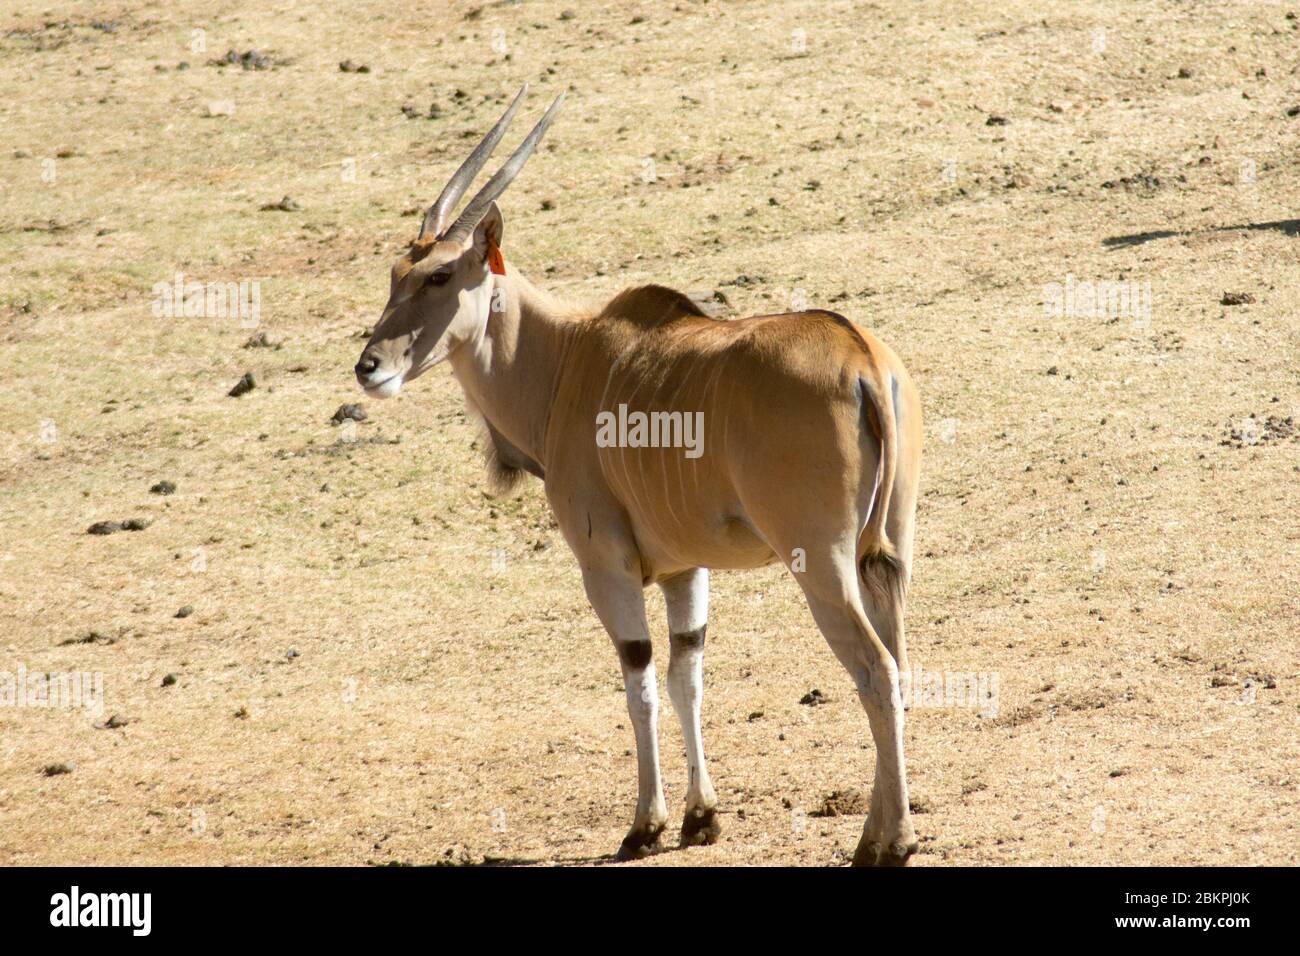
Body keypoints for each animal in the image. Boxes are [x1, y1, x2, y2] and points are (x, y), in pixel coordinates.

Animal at [354, 86, 924, 866]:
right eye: (394, 275)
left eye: (440, 274)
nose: (369, 366)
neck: (566, 360)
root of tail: (863, 359)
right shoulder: (687, 570)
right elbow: (688, 674)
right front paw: (700, 816)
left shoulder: (608, 567)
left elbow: (641, 680)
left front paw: (645, 824)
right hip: (884, 555)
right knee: (898, 661)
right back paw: (883, 823)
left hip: (822, 563)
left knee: (874, 669)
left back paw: (887, 842)